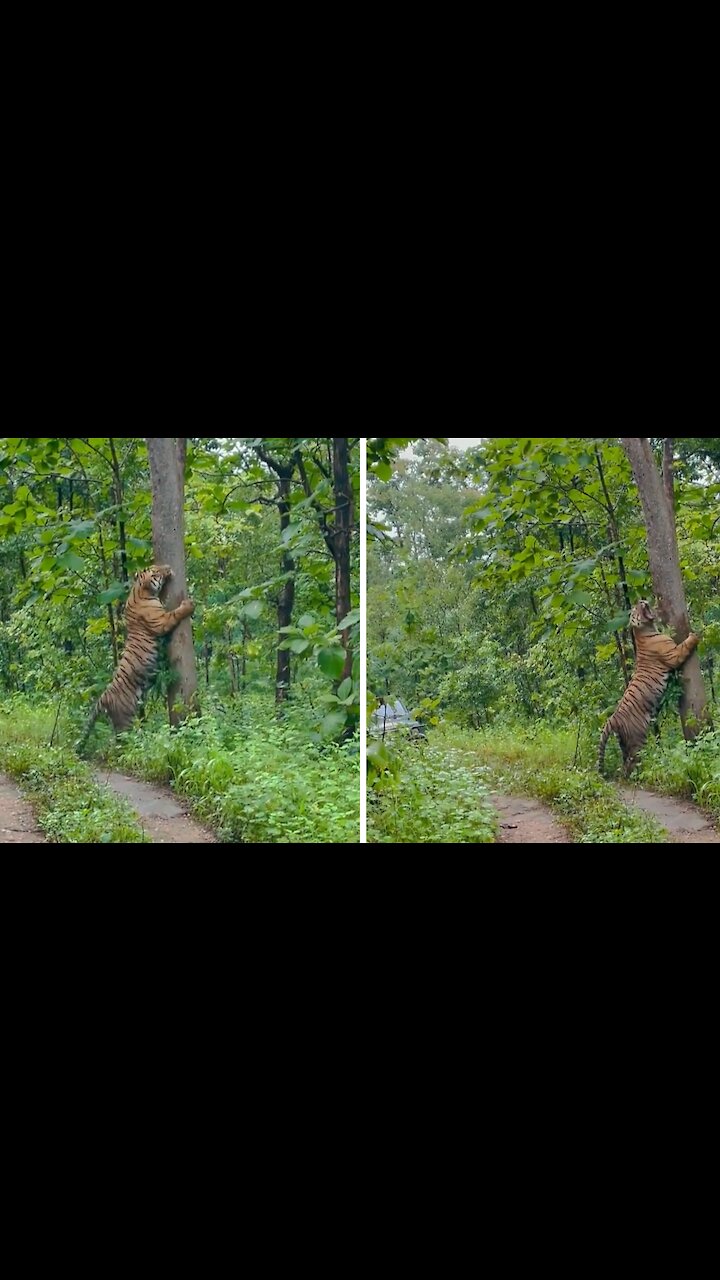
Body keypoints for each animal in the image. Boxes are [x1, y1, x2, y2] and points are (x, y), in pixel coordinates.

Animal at [77, 564, 194, 752]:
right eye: (156, 571)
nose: (167, 567)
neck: (140, 590)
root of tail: (104, 696)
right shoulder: (161, 621)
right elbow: (175, 613)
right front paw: (188, 605)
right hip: (124, 720)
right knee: (121, 744)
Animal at [598, 600, 700, 776]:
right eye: (634, 609)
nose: (641, 601)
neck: (647, 629)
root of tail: (613, 718)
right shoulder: (673, 655)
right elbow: (684, 646)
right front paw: (694, 635)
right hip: (637, 740)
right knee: (632, 763)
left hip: (625, 743)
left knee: (625, 764)